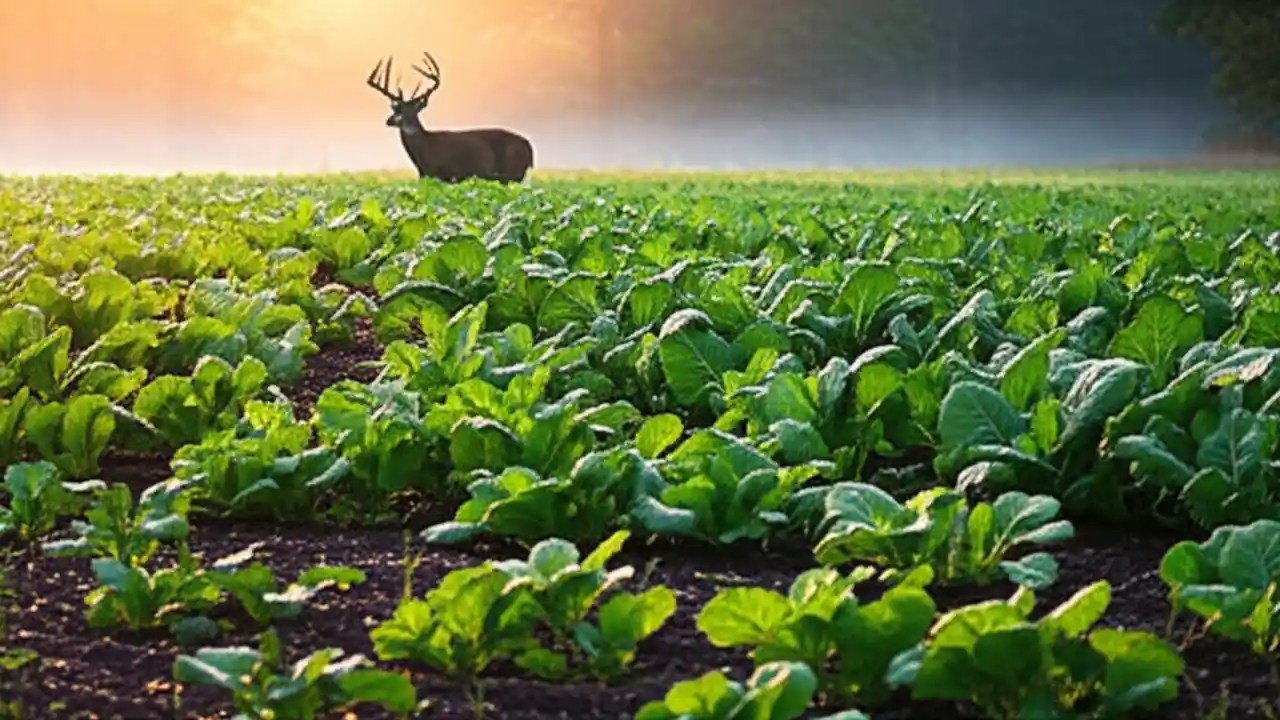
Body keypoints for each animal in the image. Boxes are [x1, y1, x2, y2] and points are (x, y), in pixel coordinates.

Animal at [366, 52, 534, 184]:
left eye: (415, 112)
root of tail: (528, 145)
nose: (392, 121)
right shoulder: (425, 177)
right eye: (398, 110)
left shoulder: (448, 175)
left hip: (513, 173)